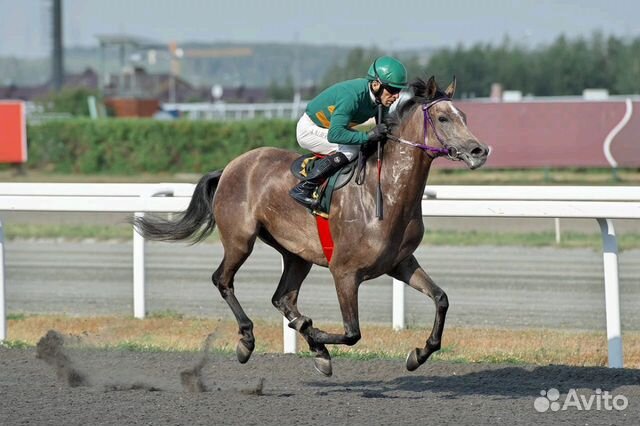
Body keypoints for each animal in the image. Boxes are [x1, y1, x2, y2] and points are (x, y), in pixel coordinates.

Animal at [133, 76, 490, 376]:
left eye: (464, 116)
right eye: (443, 118)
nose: (479, 150)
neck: (387, 192)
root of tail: (231, 166)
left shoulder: (400, 263)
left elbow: (441, 298)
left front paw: (418, 354)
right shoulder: (344, 272)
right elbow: (352, 332)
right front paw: (315, 336)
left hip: (296, 253)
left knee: (283, 298)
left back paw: (310, 341)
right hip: (240, 239)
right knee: (223, 280)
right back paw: (248, 339)